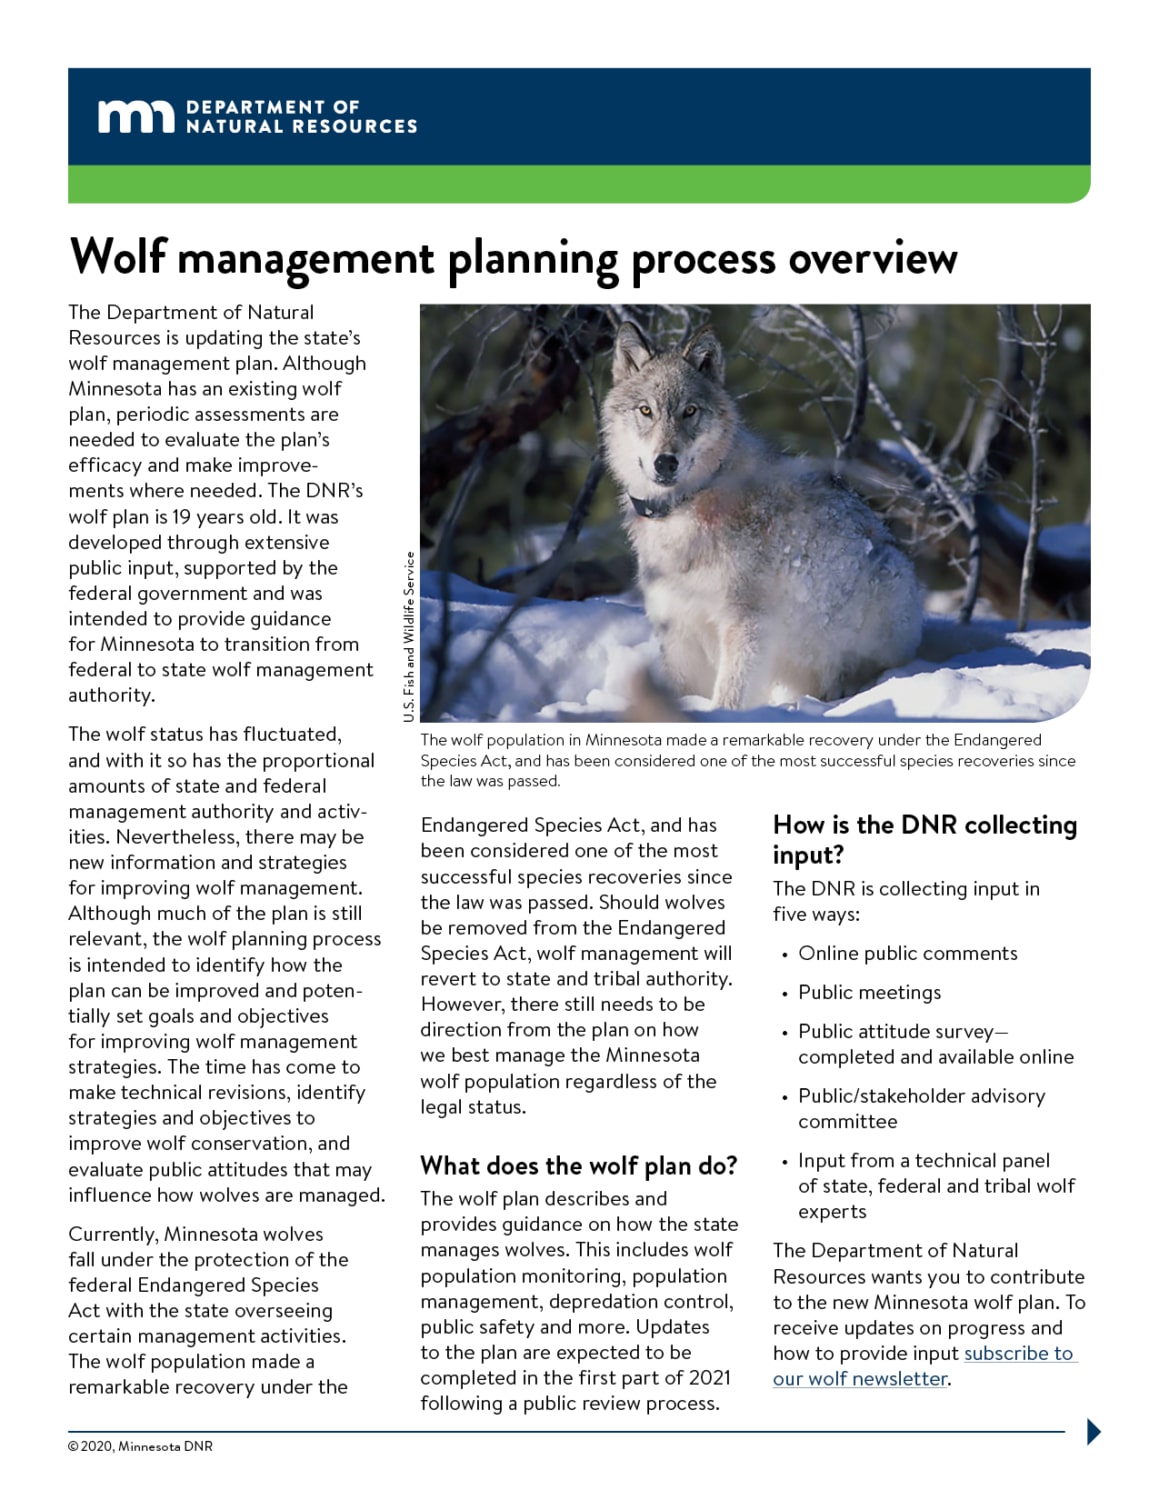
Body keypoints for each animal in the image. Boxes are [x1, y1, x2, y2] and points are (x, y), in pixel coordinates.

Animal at [601, 321, 923, 708]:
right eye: (646, 410)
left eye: (690, 411)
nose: (666, 462)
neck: (685, 508)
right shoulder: (677, 627)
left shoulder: (747, 624)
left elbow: (730, 696)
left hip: (884, 584)